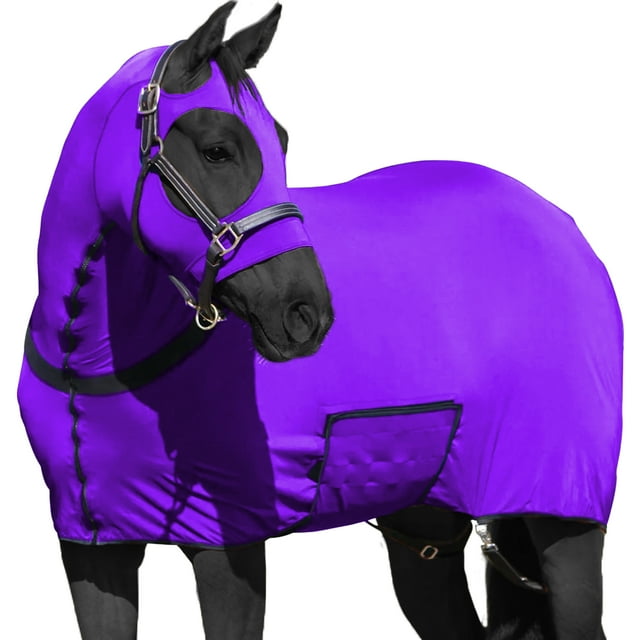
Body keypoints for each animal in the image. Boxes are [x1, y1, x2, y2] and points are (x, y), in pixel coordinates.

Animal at [17, 3, 622, 639]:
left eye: (281, 142)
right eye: (217, 149)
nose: (306, 314)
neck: (90, 363)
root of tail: (565, 229)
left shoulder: (228, 543)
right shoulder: (94, 549)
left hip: (560, 513)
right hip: (424, 527)